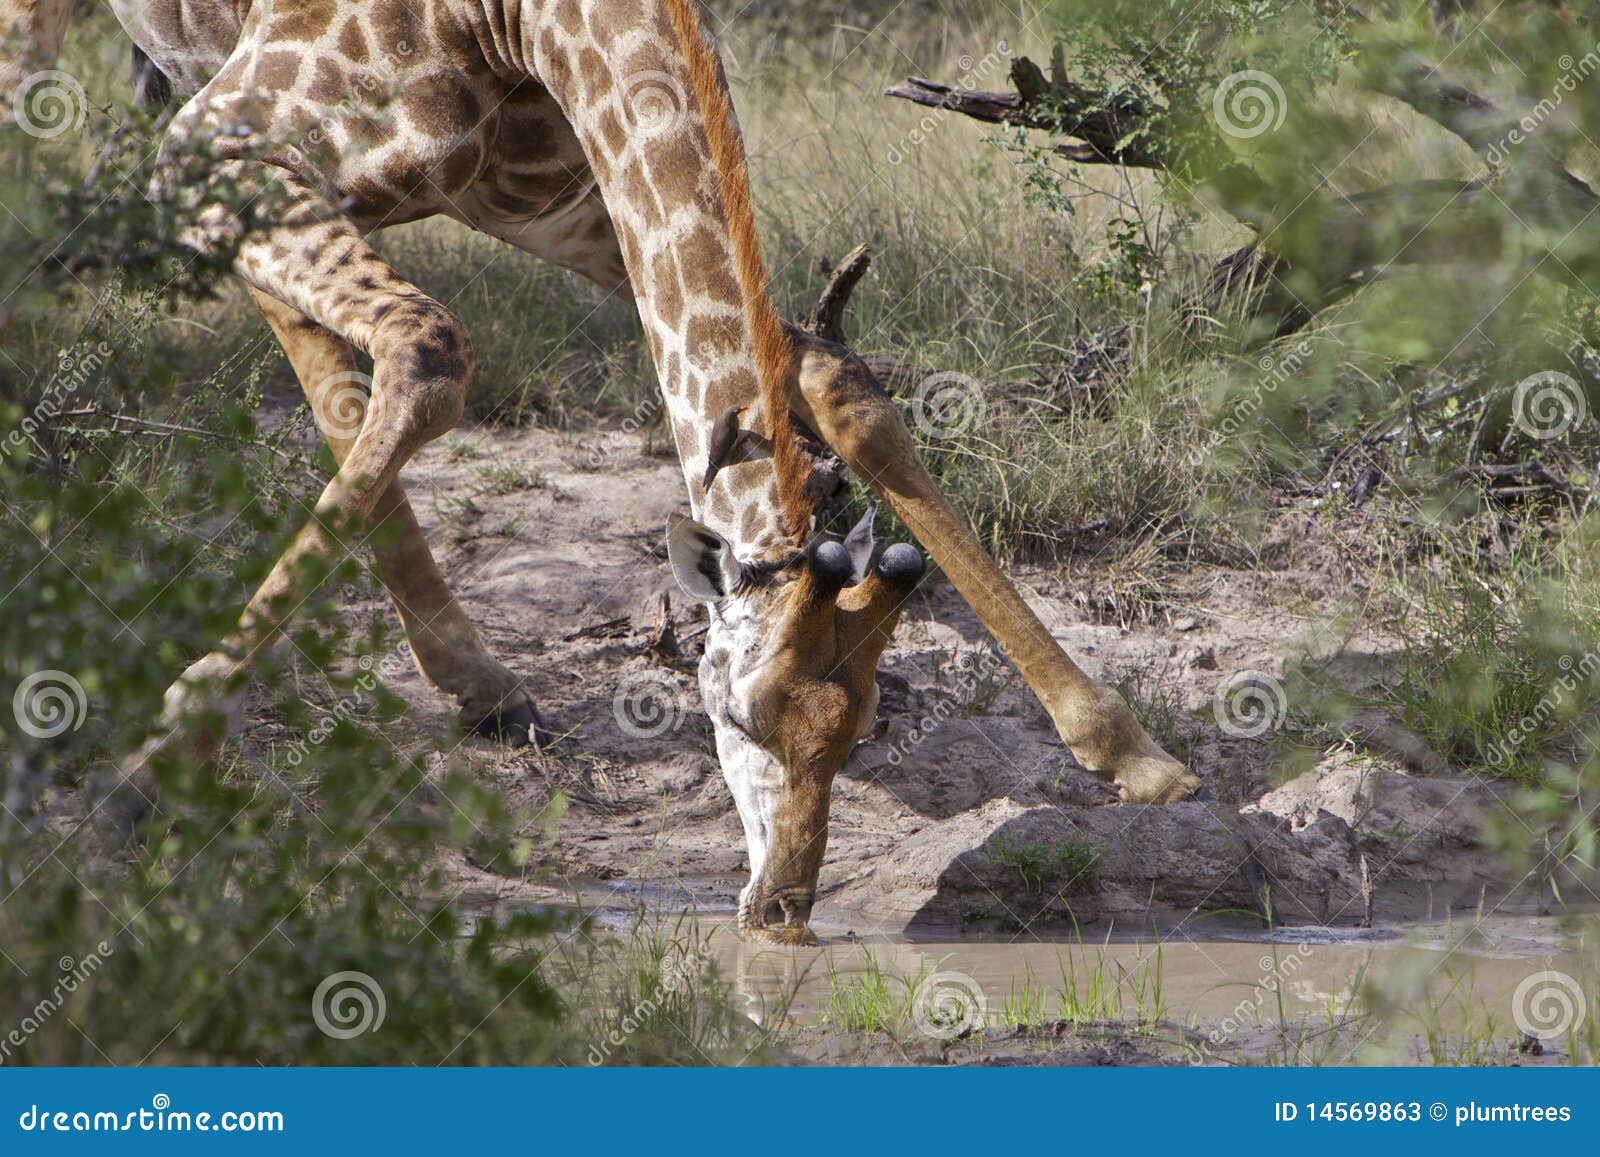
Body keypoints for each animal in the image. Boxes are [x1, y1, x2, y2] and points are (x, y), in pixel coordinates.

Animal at [2, 0, 1200, 945]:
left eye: (863, 724)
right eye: (738, 712)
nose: (781, 910)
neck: (522, 24)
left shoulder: (560, 197)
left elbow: (835, 384)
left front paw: (1134, 753)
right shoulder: (221, 137)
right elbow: (432, 352)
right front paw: (141, 772)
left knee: (315, 344)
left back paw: (481, 681)